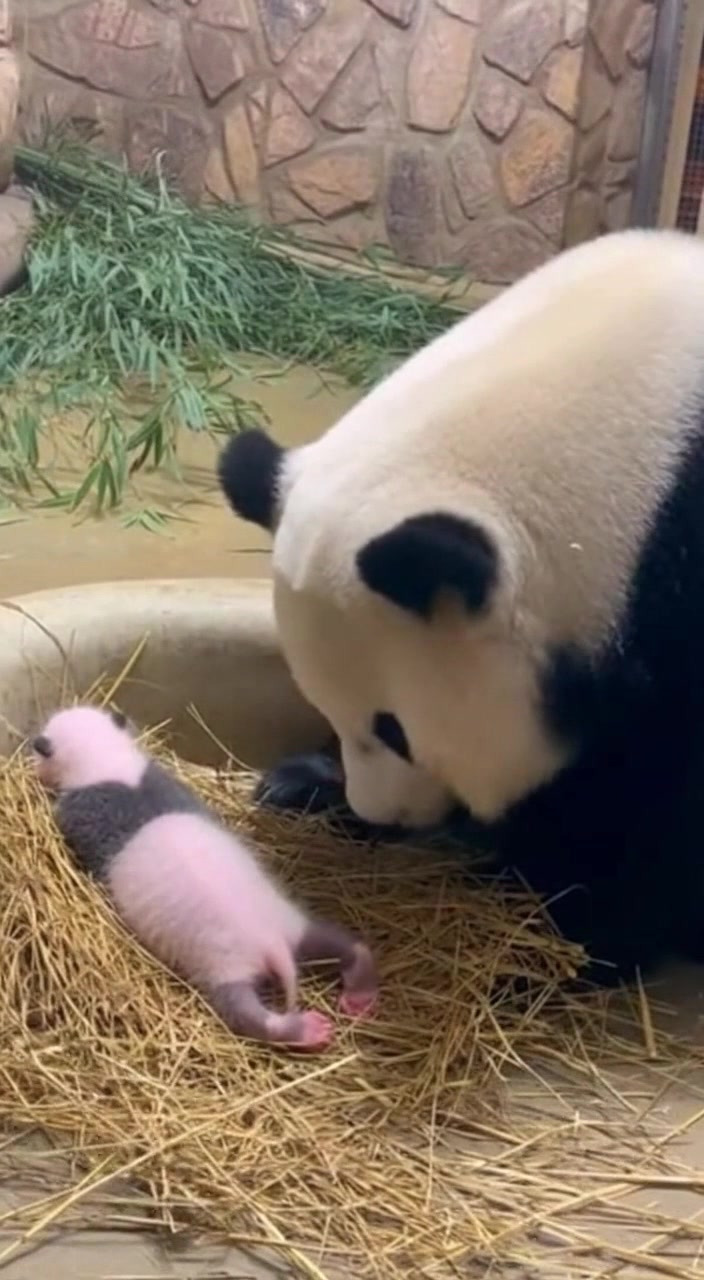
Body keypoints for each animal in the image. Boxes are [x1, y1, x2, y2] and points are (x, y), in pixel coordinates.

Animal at [217, 227, 704, 986]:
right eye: (324, 707)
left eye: (395, 729)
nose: (381, 813)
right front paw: (304, 786)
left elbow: (653, 804)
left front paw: (558, 937)